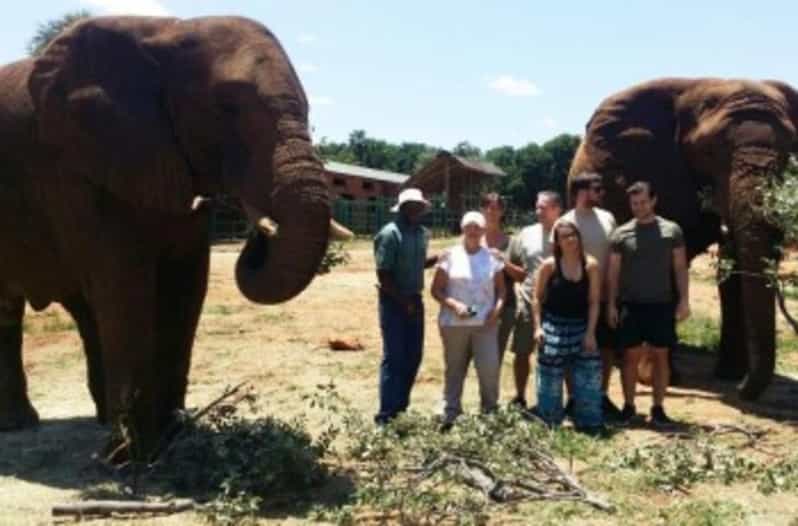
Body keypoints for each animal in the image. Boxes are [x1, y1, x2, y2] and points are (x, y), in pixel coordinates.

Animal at [0, 15, 345, 456]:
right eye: (226, 108)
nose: (258, 235)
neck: (170, 30)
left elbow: (187, 283)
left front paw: (172, 439)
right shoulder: (78, 168)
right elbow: (124, 284)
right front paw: (131, 456)